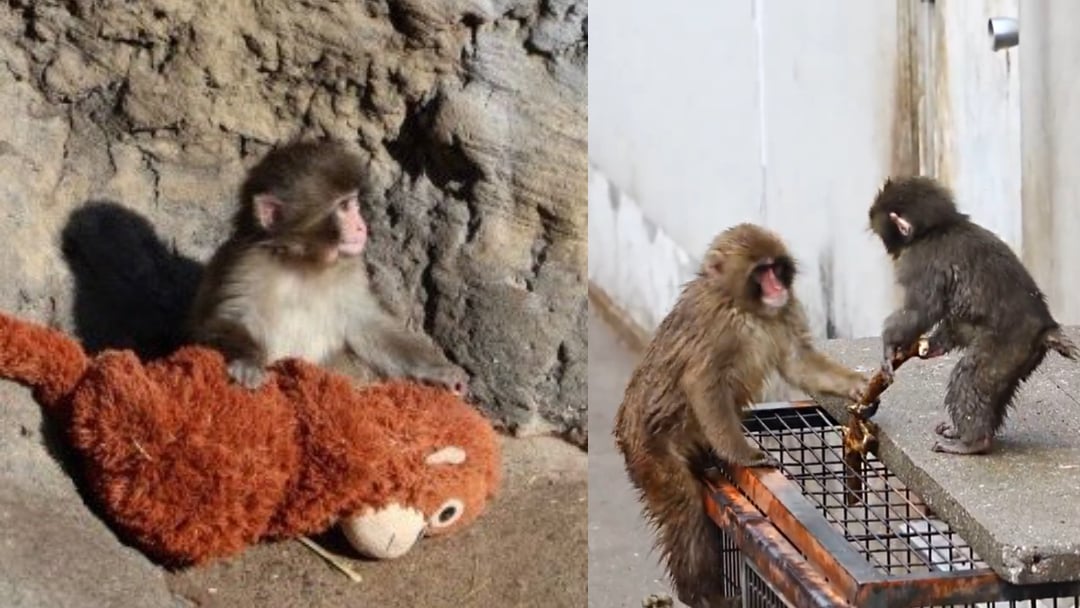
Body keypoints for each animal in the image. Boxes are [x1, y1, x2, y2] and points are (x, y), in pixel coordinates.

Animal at [187, 139, 469, 395]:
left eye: (353, 204)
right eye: (344, 207)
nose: (361, 226)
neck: (302, 263)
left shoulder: (350, 271)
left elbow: (368, 326)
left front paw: (441, 372)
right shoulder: (247, 264)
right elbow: (223, 319)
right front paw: (248, 361)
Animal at [613, 223, 869, 608]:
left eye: (776, 268)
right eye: (761, 272)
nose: (777, 287)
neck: (746, 308)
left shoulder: (785, 311)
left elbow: (799, 364)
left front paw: (858, 385)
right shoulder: (719, 326)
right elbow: (703, 383)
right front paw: (742, 453)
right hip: (651, 453)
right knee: (684, 510)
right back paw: (701, 594)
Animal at [869, 175, 1078, 455]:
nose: (888, 249)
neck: (937, 227)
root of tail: (1045, 329)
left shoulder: (920, 261)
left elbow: (922, 309)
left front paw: (890, 345)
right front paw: (931, 346)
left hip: (1007, 348)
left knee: (970, 376)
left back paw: (973, 443)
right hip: (1022, 357)